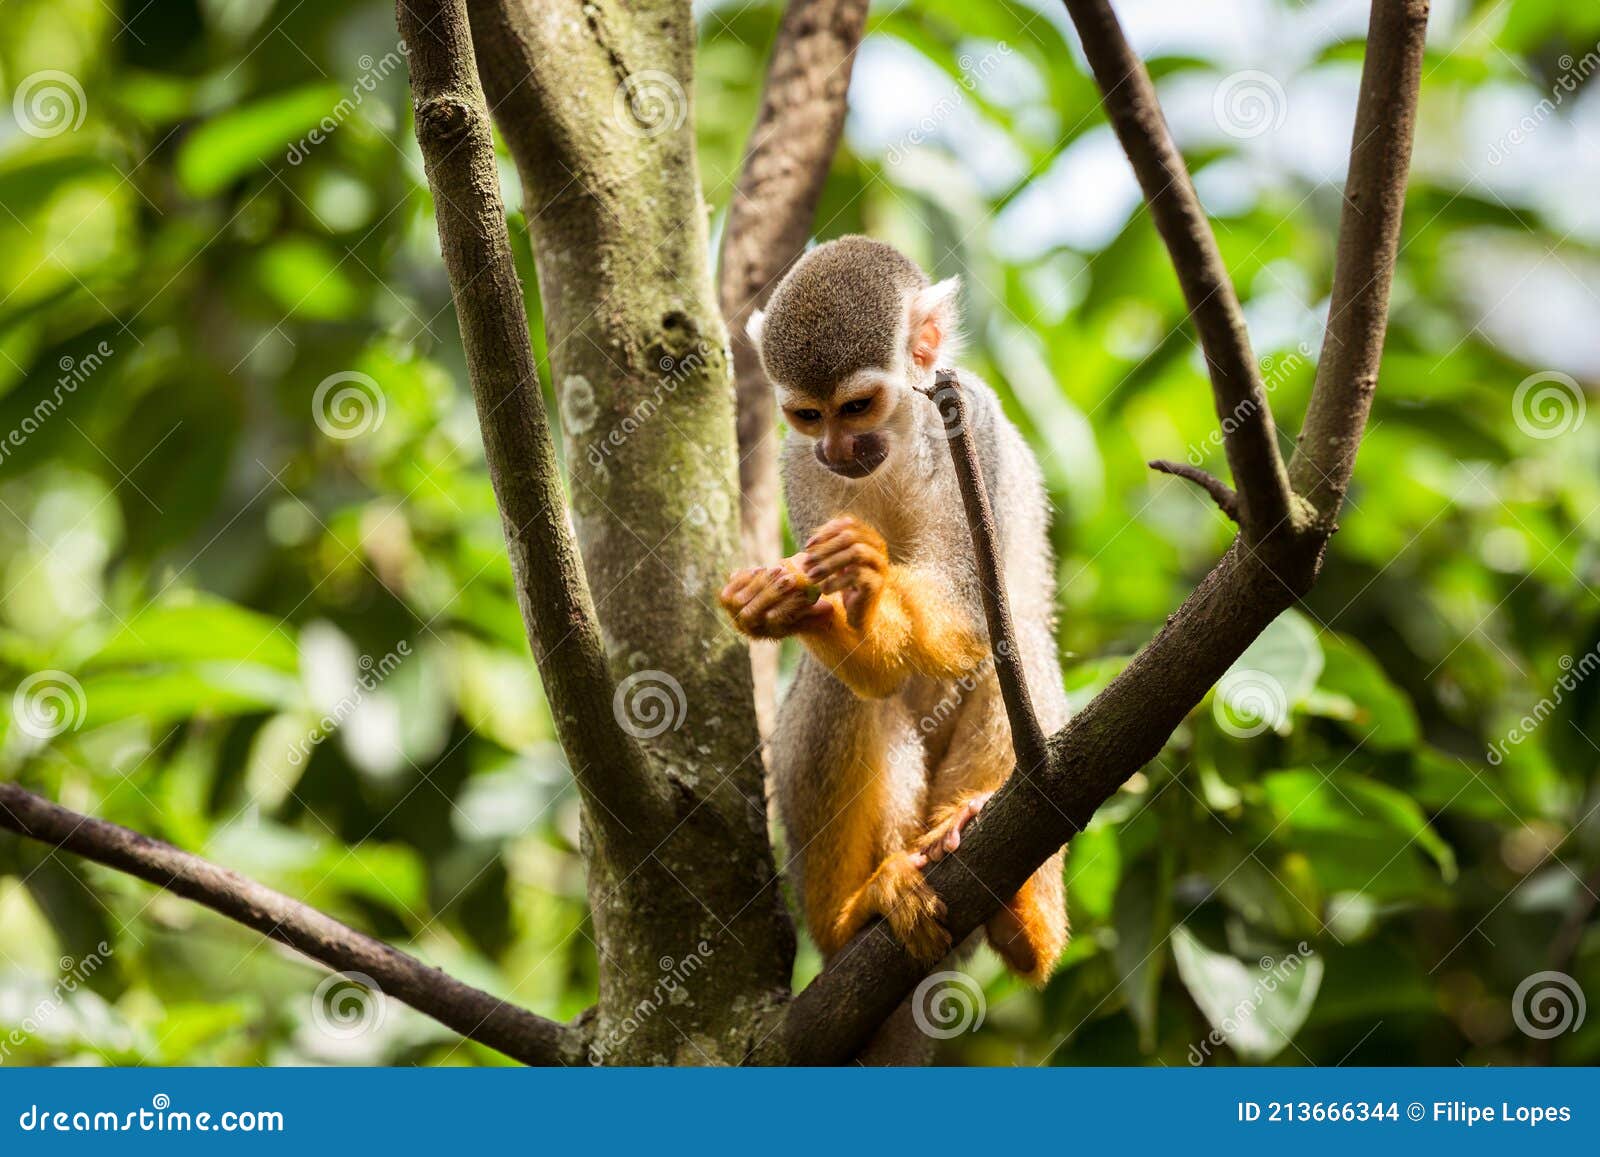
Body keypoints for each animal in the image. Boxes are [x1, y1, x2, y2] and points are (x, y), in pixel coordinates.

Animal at [719, 235, 1069, 986]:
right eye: (808, 416)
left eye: (856, 406)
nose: (835, 450)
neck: (902, 436)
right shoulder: (796, 465)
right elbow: (871, 678)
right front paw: (796, 609)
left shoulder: (967, 425)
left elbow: (972, 610)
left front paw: (870, 583)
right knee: (844, 692)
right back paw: (854, 910)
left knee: (1016, 641)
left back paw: (1017, 913)